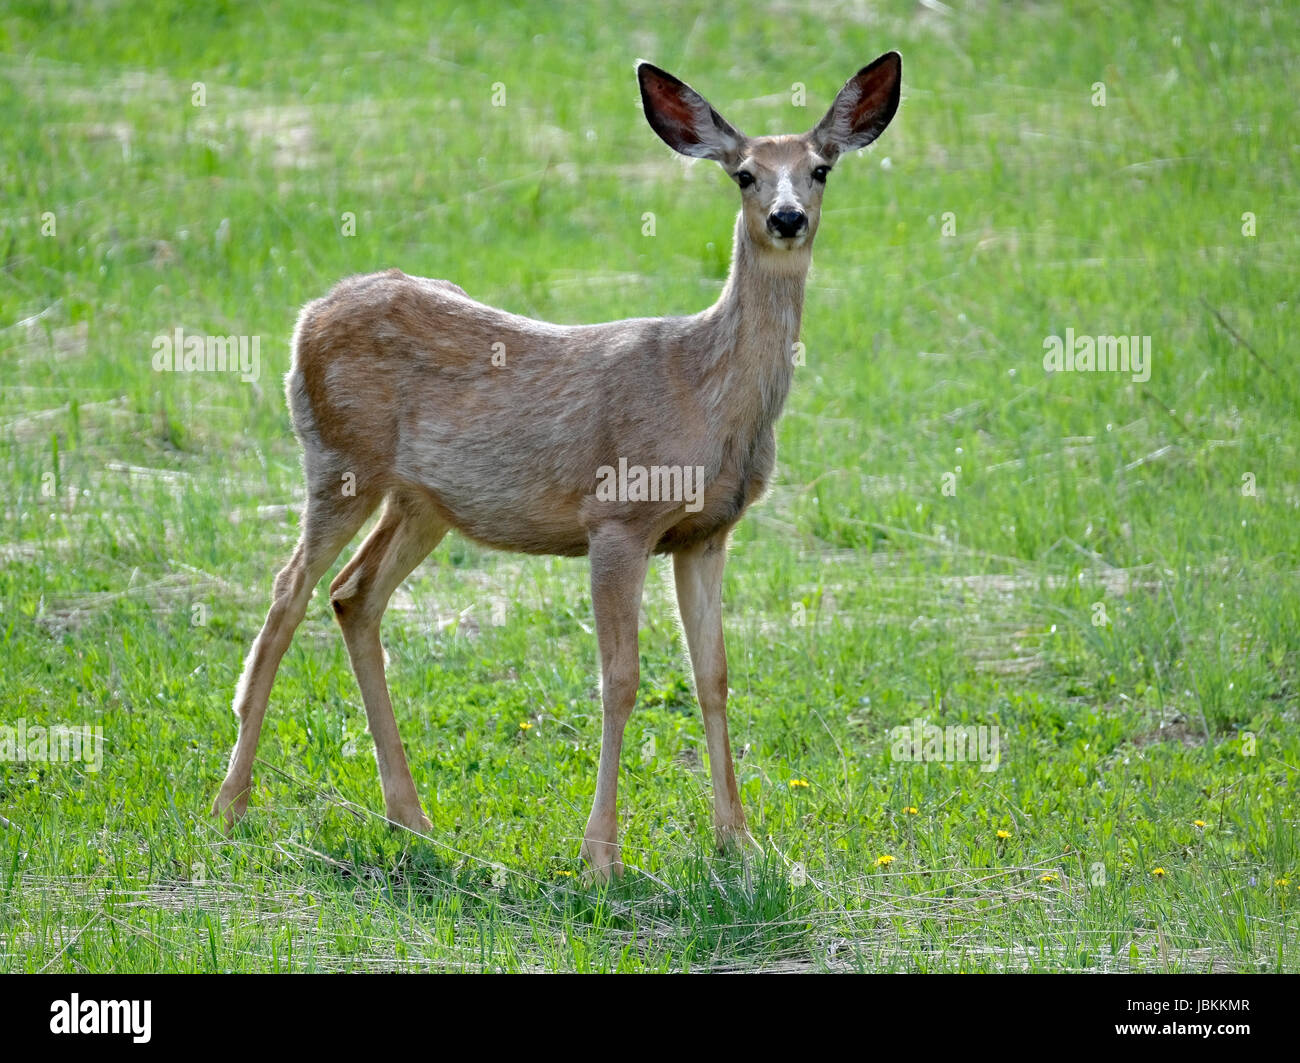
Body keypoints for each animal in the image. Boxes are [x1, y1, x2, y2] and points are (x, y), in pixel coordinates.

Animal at [213, 53, 902, 881]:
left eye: (820, 168)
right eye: (744, 174)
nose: (787, 218)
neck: (708, 396)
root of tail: (307, 316)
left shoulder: (707, 533)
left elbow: (715, 675)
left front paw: (740, 838)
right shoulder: (618, 517)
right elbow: (621, 680)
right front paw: (601, 855)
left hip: (423, 503)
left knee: (353, 595)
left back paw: (410, 815)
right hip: (340, 458)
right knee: (288, 591)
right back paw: (231, 803)